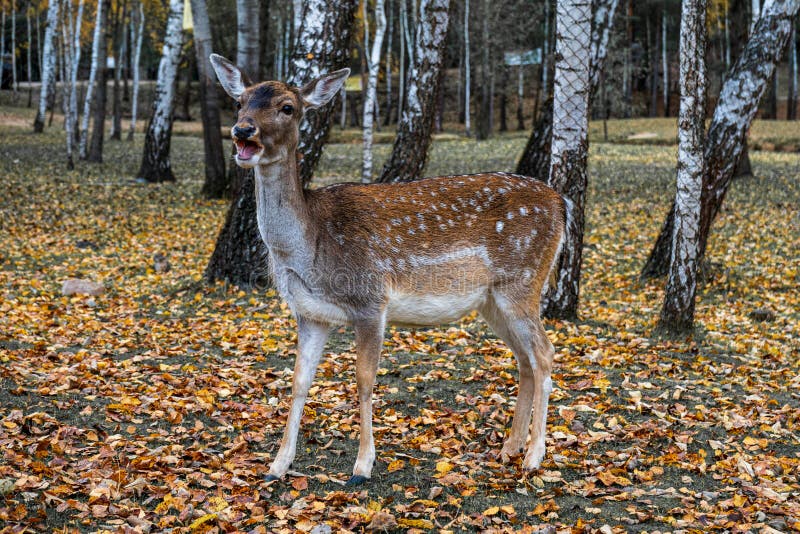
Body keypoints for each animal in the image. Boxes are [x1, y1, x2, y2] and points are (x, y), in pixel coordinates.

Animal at [209, 54, 568, 485]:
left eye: (287, 107)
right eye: (240, 101)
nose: (242, 130)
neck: (309, 248)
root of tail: (561, 204)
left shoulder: (370, 300)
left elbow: (364, 381)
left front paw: (362, 466)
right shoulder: (309, 313)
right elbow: (297, 382)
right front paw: (277, 466)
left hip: (523, 280)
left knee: (545, 353)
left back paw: (534, 456)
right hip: (493, 300)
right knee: (524, 360)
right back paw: (509, 448)